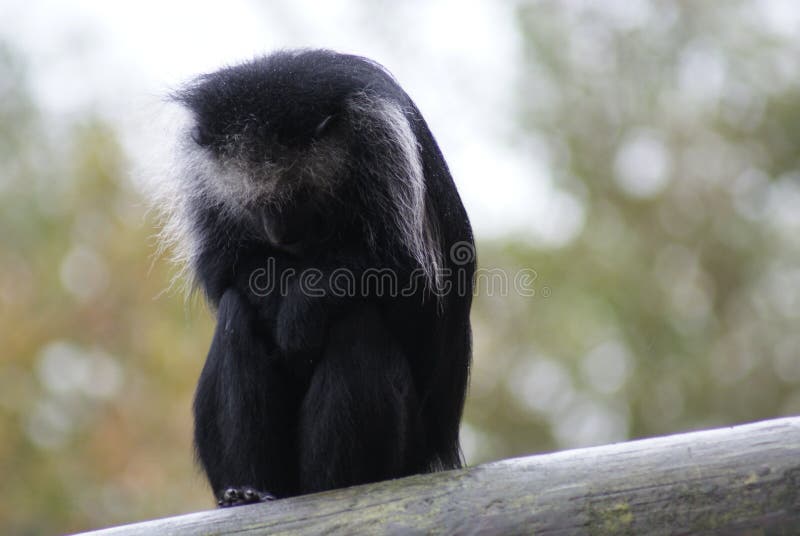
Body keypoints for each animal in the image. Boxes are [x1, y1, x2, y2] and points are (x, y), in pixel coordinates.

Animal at [159, 49, 475, 506]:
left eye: (301, 195)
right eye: (253, 206)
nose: (280, 235)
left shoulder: (388, 154)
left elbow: (410, 285)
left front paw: (299, 313)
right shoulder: (205, 185)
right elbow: (223, 273)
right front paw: (273, 292)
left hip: (405, 447)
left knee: (358, 322)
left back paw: (337, 484)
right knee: (237, 315)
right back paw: (250, 491)